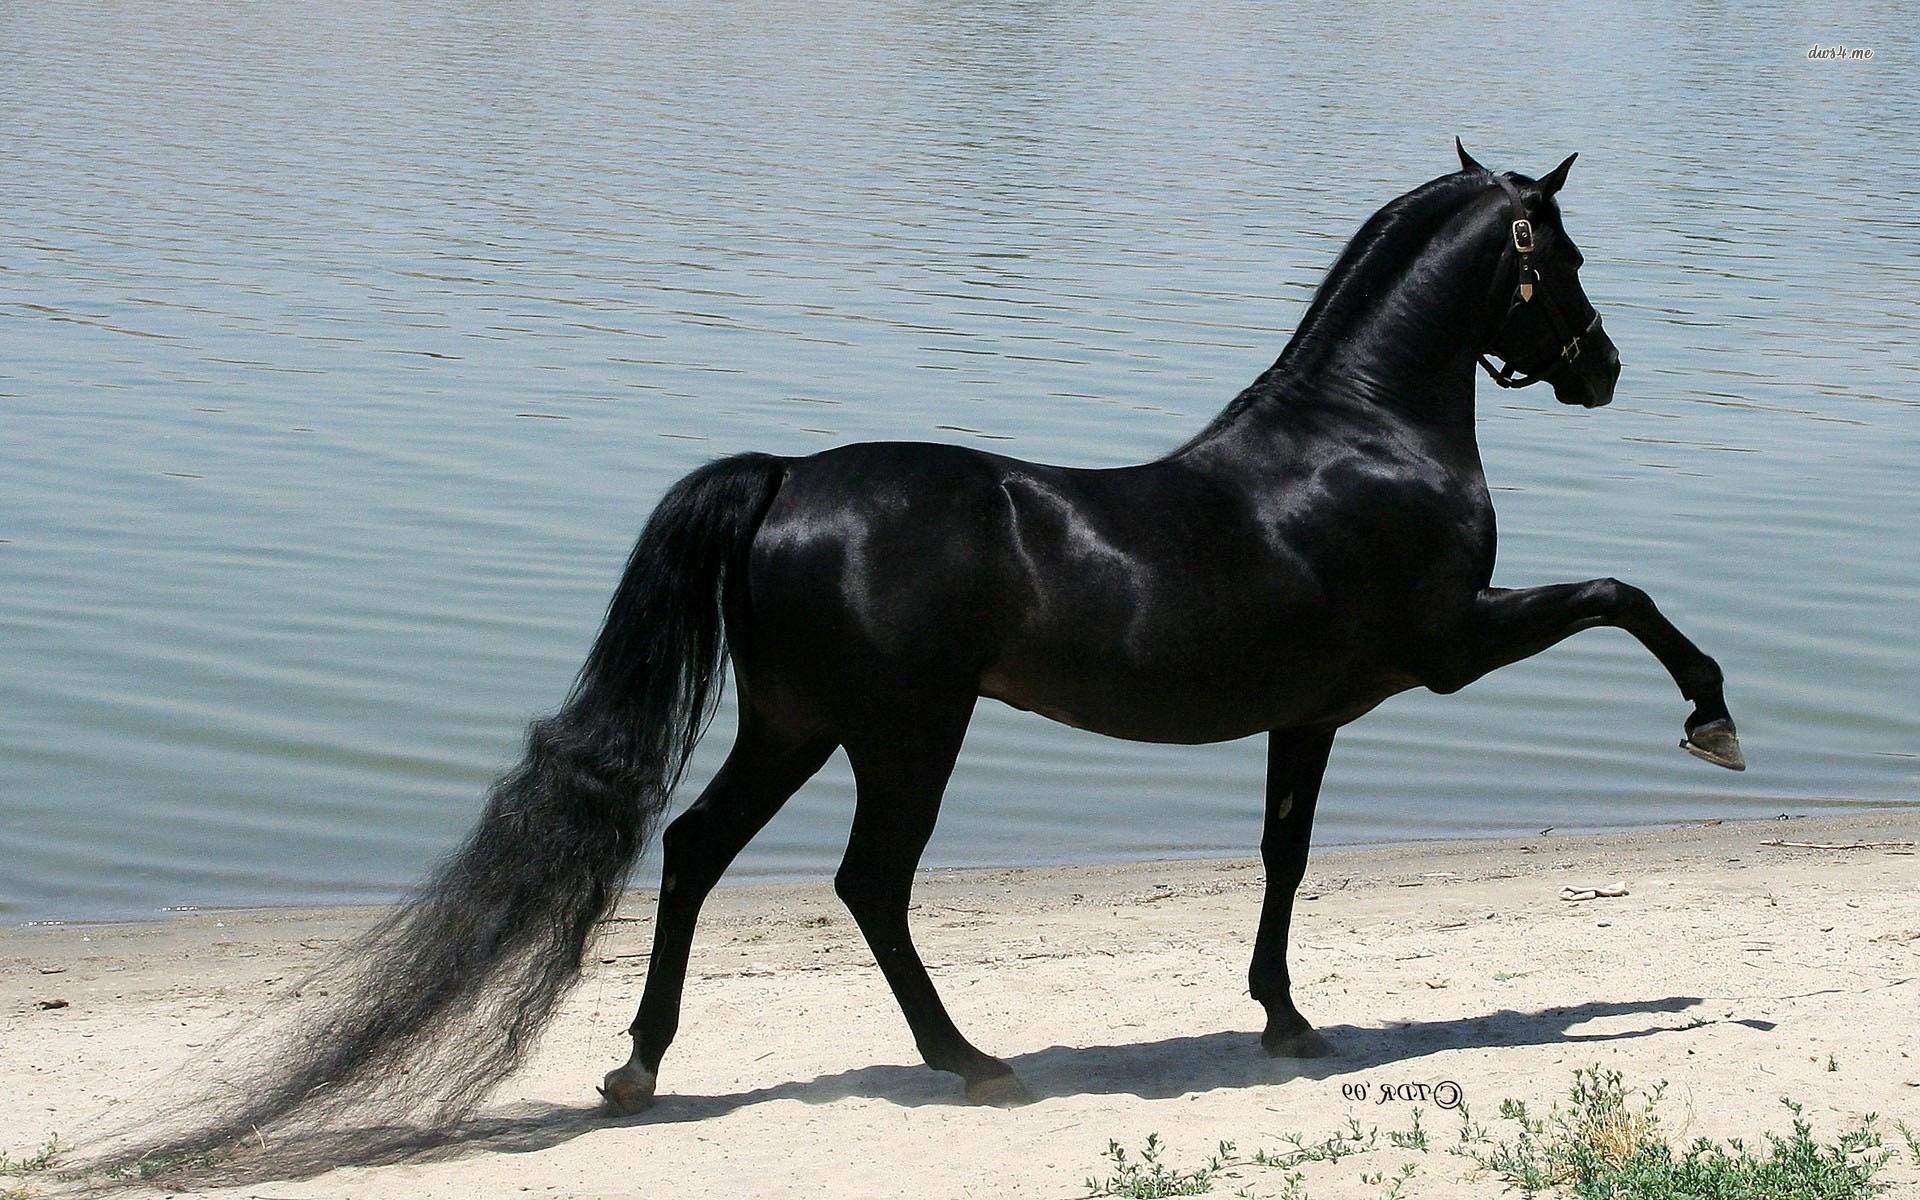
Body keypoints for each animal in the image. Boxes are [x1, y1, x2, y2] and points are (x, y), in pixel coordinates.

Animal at [129, 143, 1743, 1164]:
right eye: (1564, 254)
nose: (1603, 368)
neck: (1358, 437)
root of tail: (786, 477)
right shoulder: (1449, 647)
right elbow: (1624, 593)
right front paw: (1713, 720)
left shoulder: (1316, 713)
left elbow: (1283, 856)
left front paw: (1285, 1019)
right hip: (906, 733)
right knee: (867, 885)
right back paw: (967, 1064)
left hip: (797, 726)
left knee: (699, 852)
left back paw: (641, 1067)